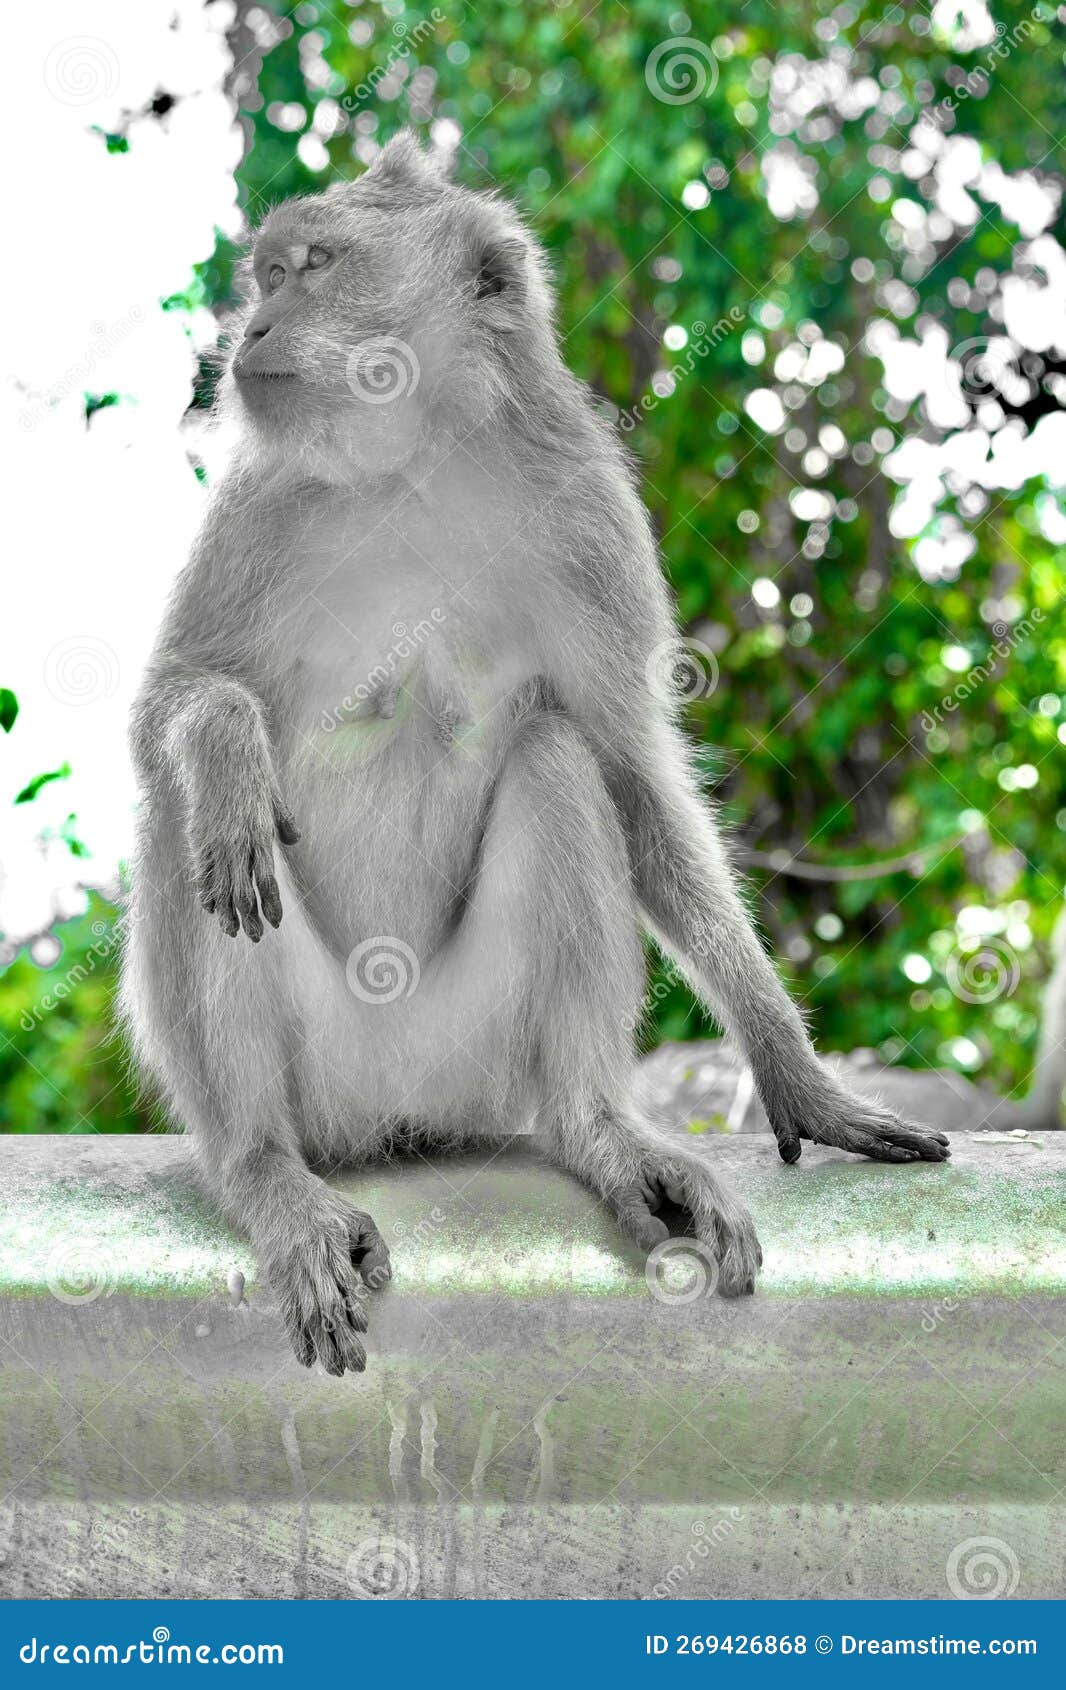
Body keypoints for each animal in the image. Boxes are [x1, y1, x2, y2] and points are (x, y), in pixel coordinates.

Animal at [120, 131, 948, 1376]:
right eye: (269, 274)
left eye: (313, 267)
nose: (250, 332)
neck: (414, 461)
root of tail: (399, 1117)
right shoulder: (255, 505)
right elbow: (168, 711)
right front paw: (224, 739)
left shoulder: (586, 509)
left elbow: (628, 765)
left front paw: (797, 1074)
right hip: (327, 1084)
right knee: (196, 822)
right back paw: (264, 1169)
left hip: (476, 1058)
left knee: (557, 758)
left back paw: (598, 1129)